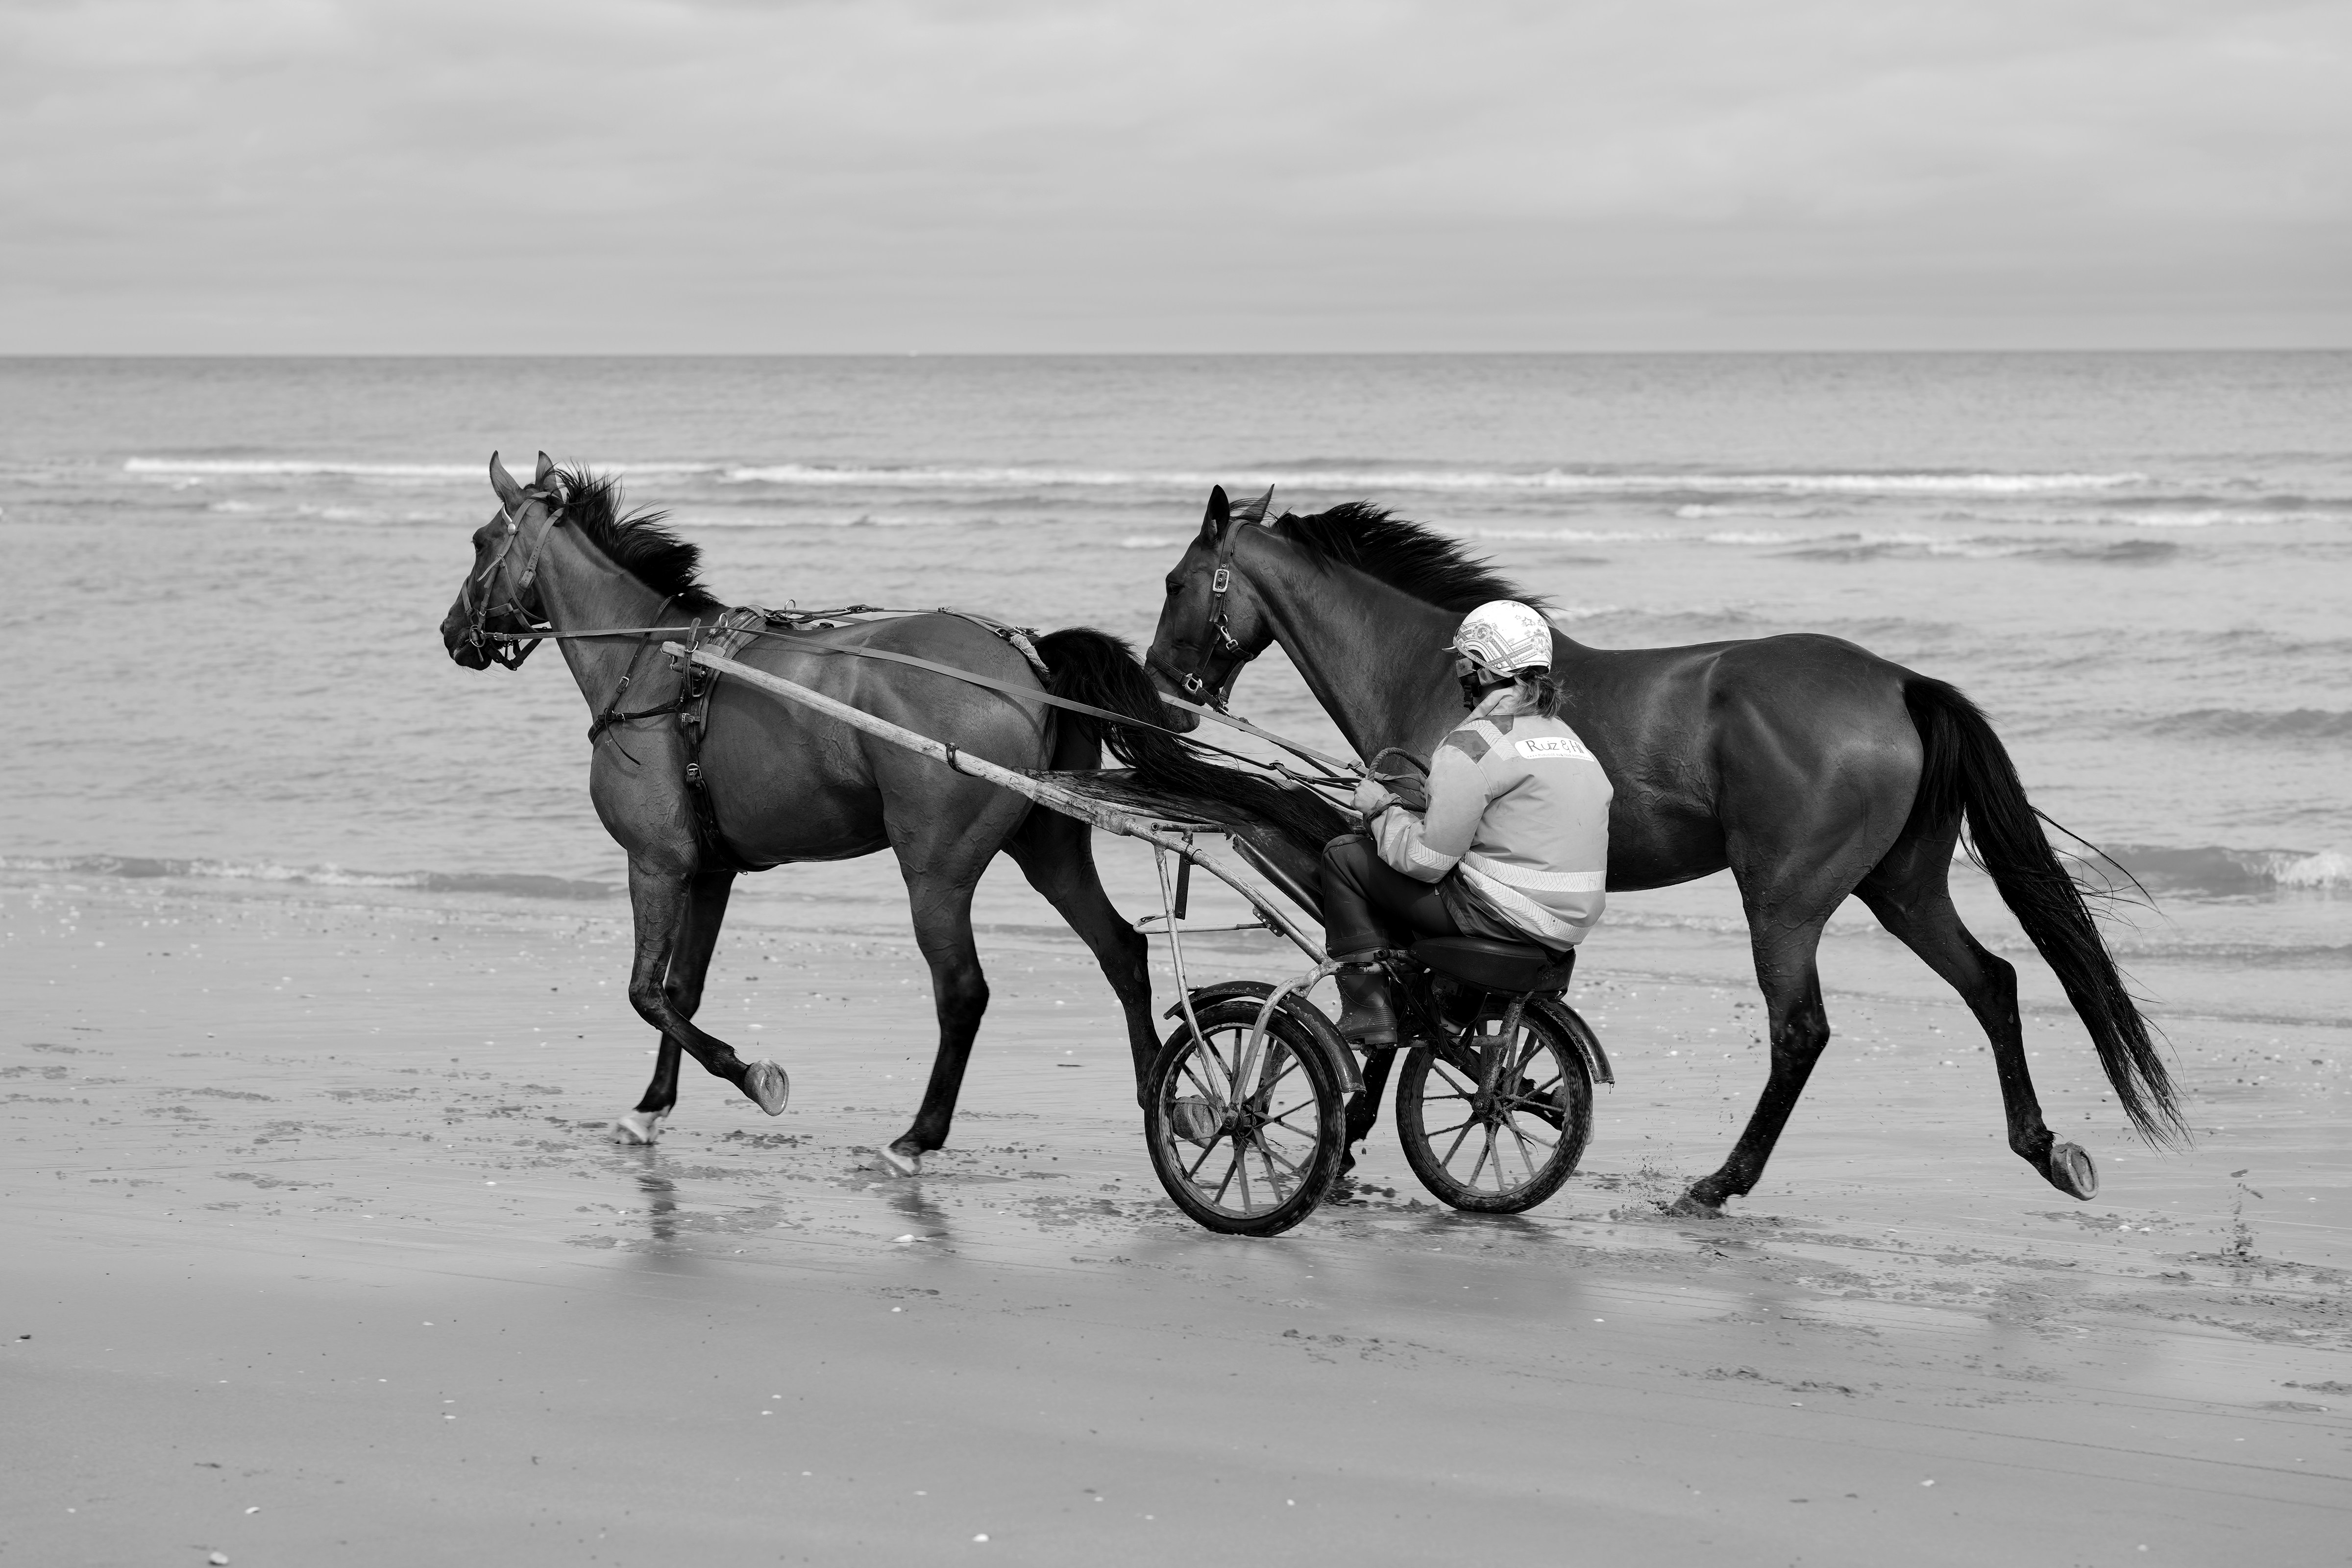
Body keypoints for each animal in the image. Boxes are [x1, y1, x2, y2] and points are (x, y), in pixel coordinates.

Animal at [440, 451, 1247, 1174]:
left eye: (480, 541)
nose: (451, 634)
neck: (656, 663)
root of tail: (1028, 665)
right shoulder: (709, 871)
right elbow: (680, 991)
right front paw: (652, 1105)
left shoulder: (656, 862)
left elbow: (646, 993)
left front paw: (750, 1076)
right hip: (1049, 849)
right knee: (1121, 951)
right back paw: (1163, 1096)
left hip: (936, 873)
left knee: (964, 992)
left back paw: (918, 1137)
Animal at [1145, 486, 2183, 1214]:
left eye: (1175, 584)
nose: (1162, 685)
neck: (1440, 675)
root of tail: (1897, 684)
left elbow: (1401, 1005)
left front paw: (1352, 1134)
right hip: (1902, 889)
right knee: (1992, 984)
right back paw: (2044, 1148)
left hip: (1785, 899)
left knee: (1802, 1032)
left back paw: (1721, 1184)